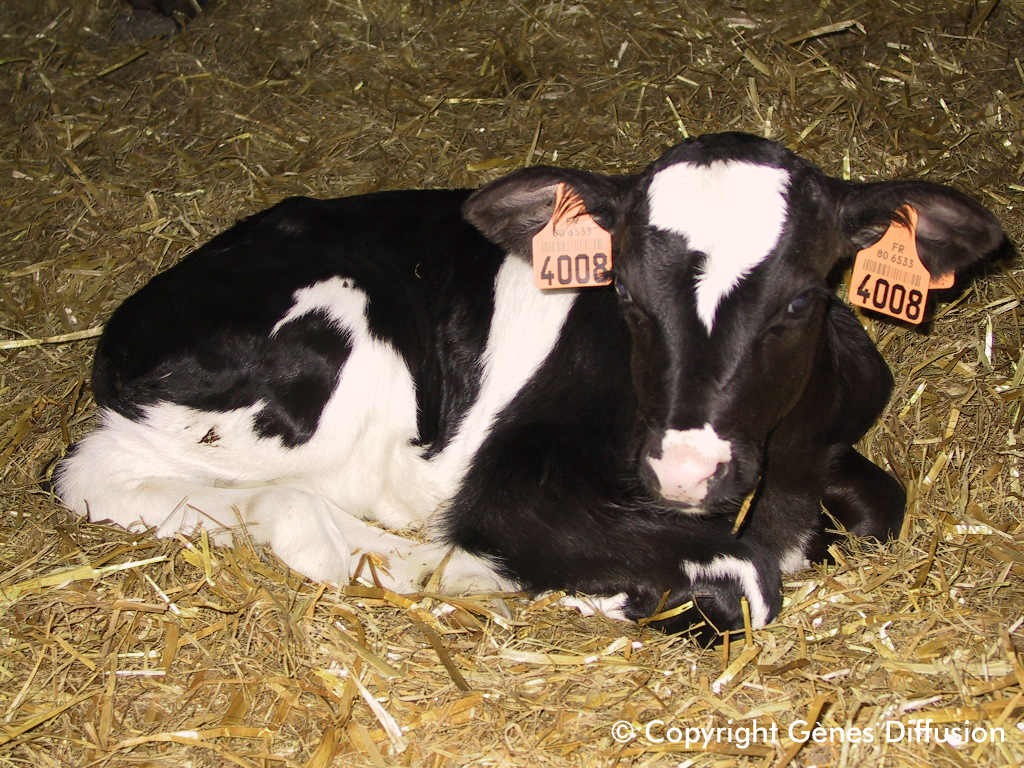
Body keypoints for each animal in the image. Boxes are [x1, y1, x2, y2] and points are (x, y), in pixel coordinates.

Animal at [53, 132, 1006, 642]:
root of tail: (130, 319)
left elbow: (880, 506)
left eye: (801, 298)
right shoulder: (514, 479)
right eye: (624, 294)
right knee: (127, 480)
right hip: (327, 347)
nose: (685, 471)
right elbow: (745, 577)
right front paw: (625, 586)